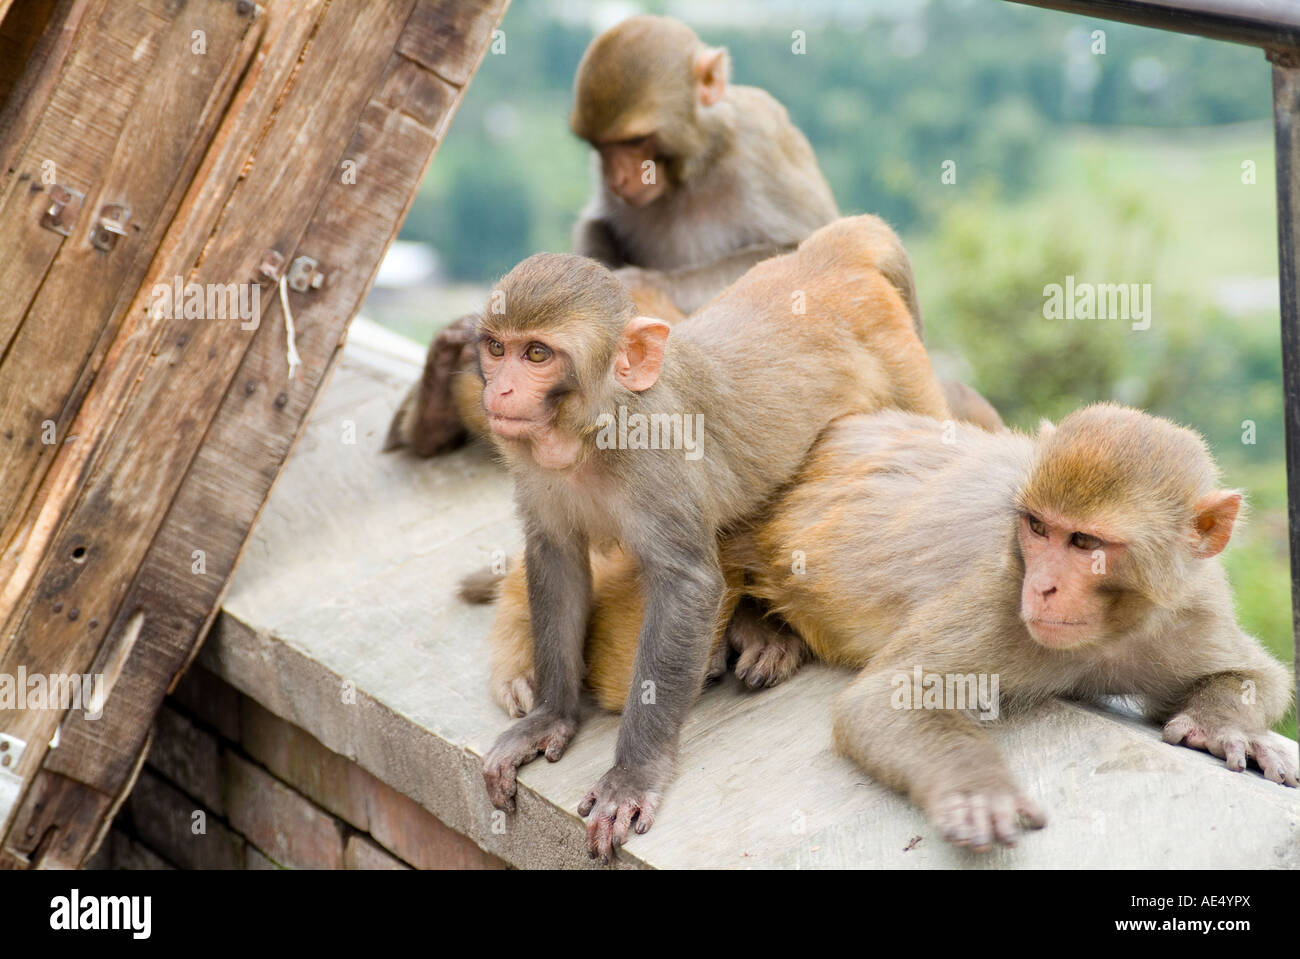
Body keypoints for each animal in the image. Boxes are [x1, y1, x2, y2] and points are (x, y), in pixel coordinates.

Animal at [474, 215, 950, 862]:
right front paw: (550, 716)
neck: (595, 431)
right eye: (497, 348)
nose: (499, 391)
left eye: (538, 353)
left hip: (900, 358)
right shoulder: (533, 464)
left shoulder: (655, 457)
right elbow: (557, 557)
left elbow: (687, 586)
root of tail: (824, 256)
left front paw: (632, 777)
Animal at [506, 405, 1296, 851]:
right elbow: (884, 701)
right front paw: (977, 790)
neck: (1108, 629)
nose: (1042, 584)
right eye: (1038, 528)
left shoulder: (1189, 604)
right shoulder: (999, 602)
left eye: (1085, 542)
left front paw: (1231, 728)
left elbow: (1258, 674)